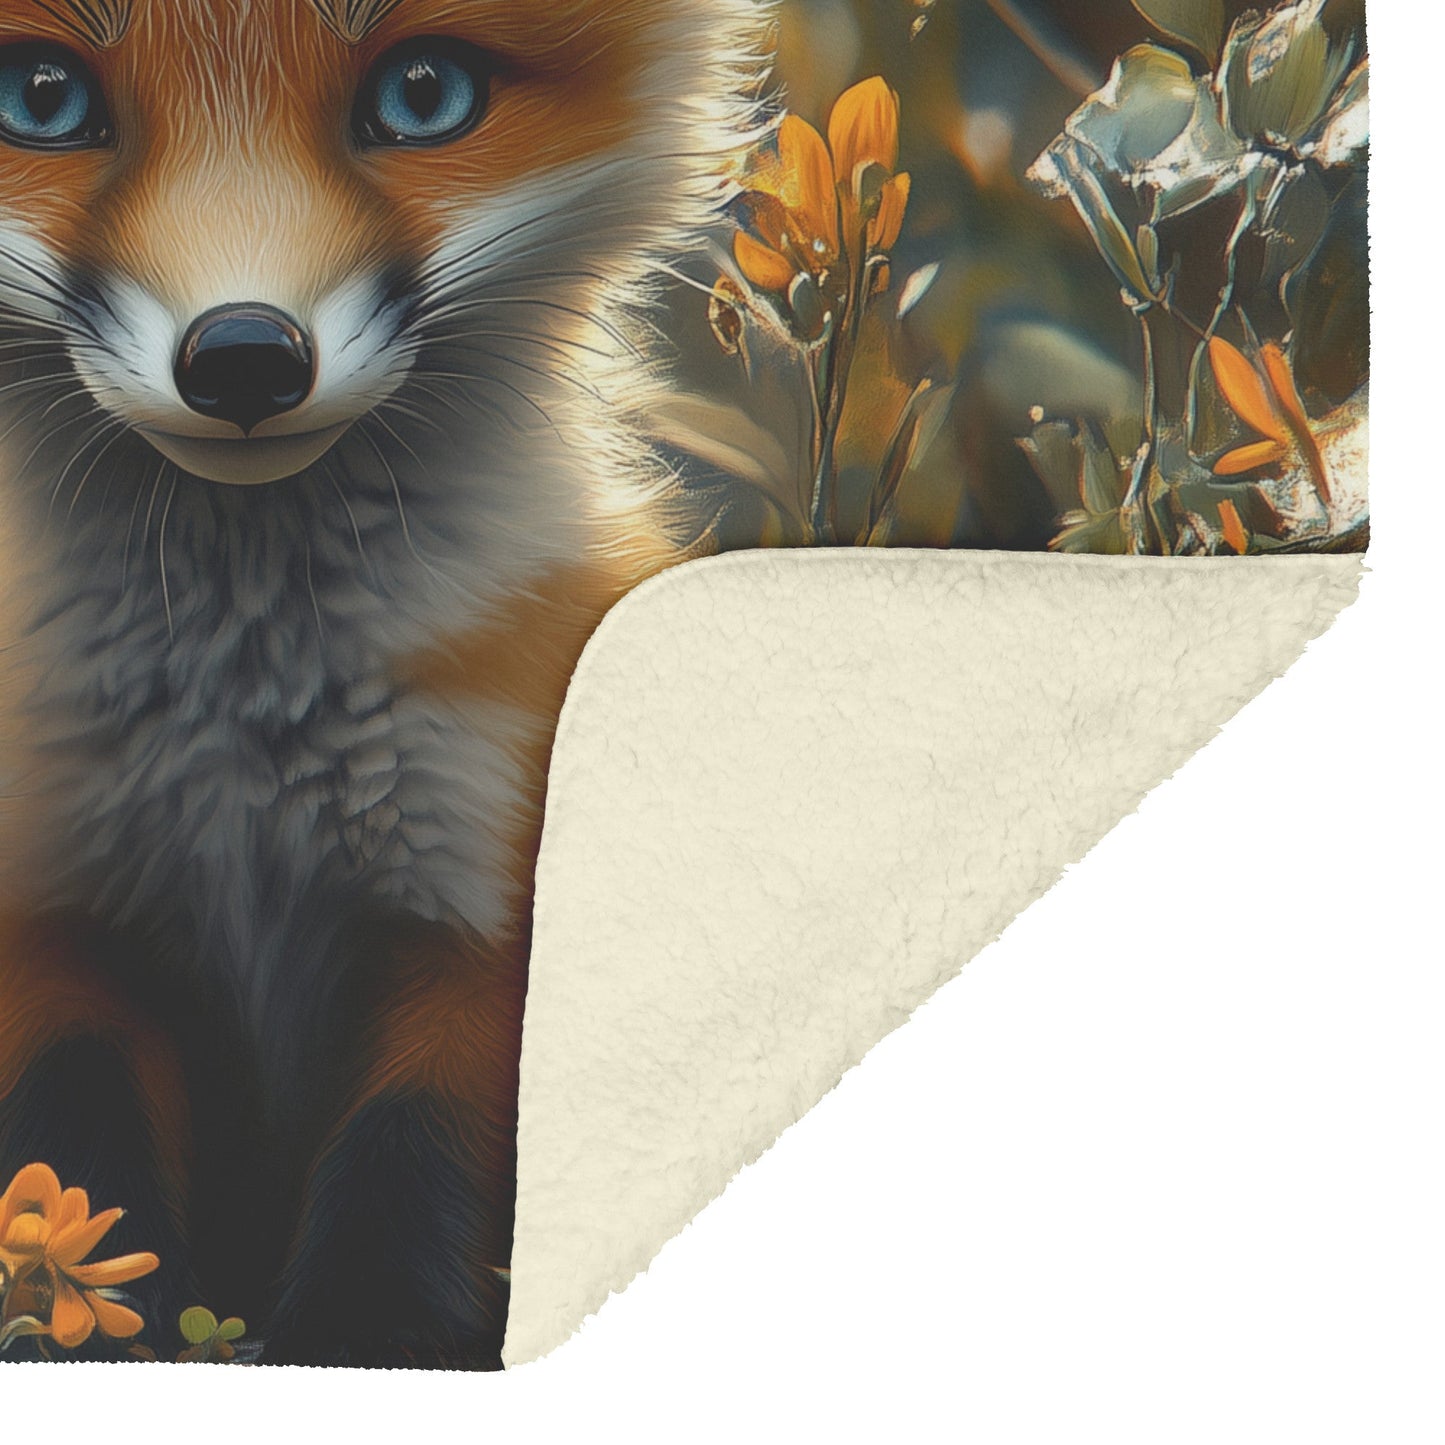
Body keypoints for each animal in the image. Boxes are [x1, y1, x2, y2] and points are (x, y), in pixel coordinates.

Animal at [0, 0, 766, 1368]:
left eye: (421, 95)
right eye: (40, 98)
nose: (243, 356)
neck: (242, 731)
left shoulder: (482, 900)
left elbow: (410, 1183)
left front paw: (365, 1327)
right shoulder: (47, 913)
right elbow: (76, 1188)